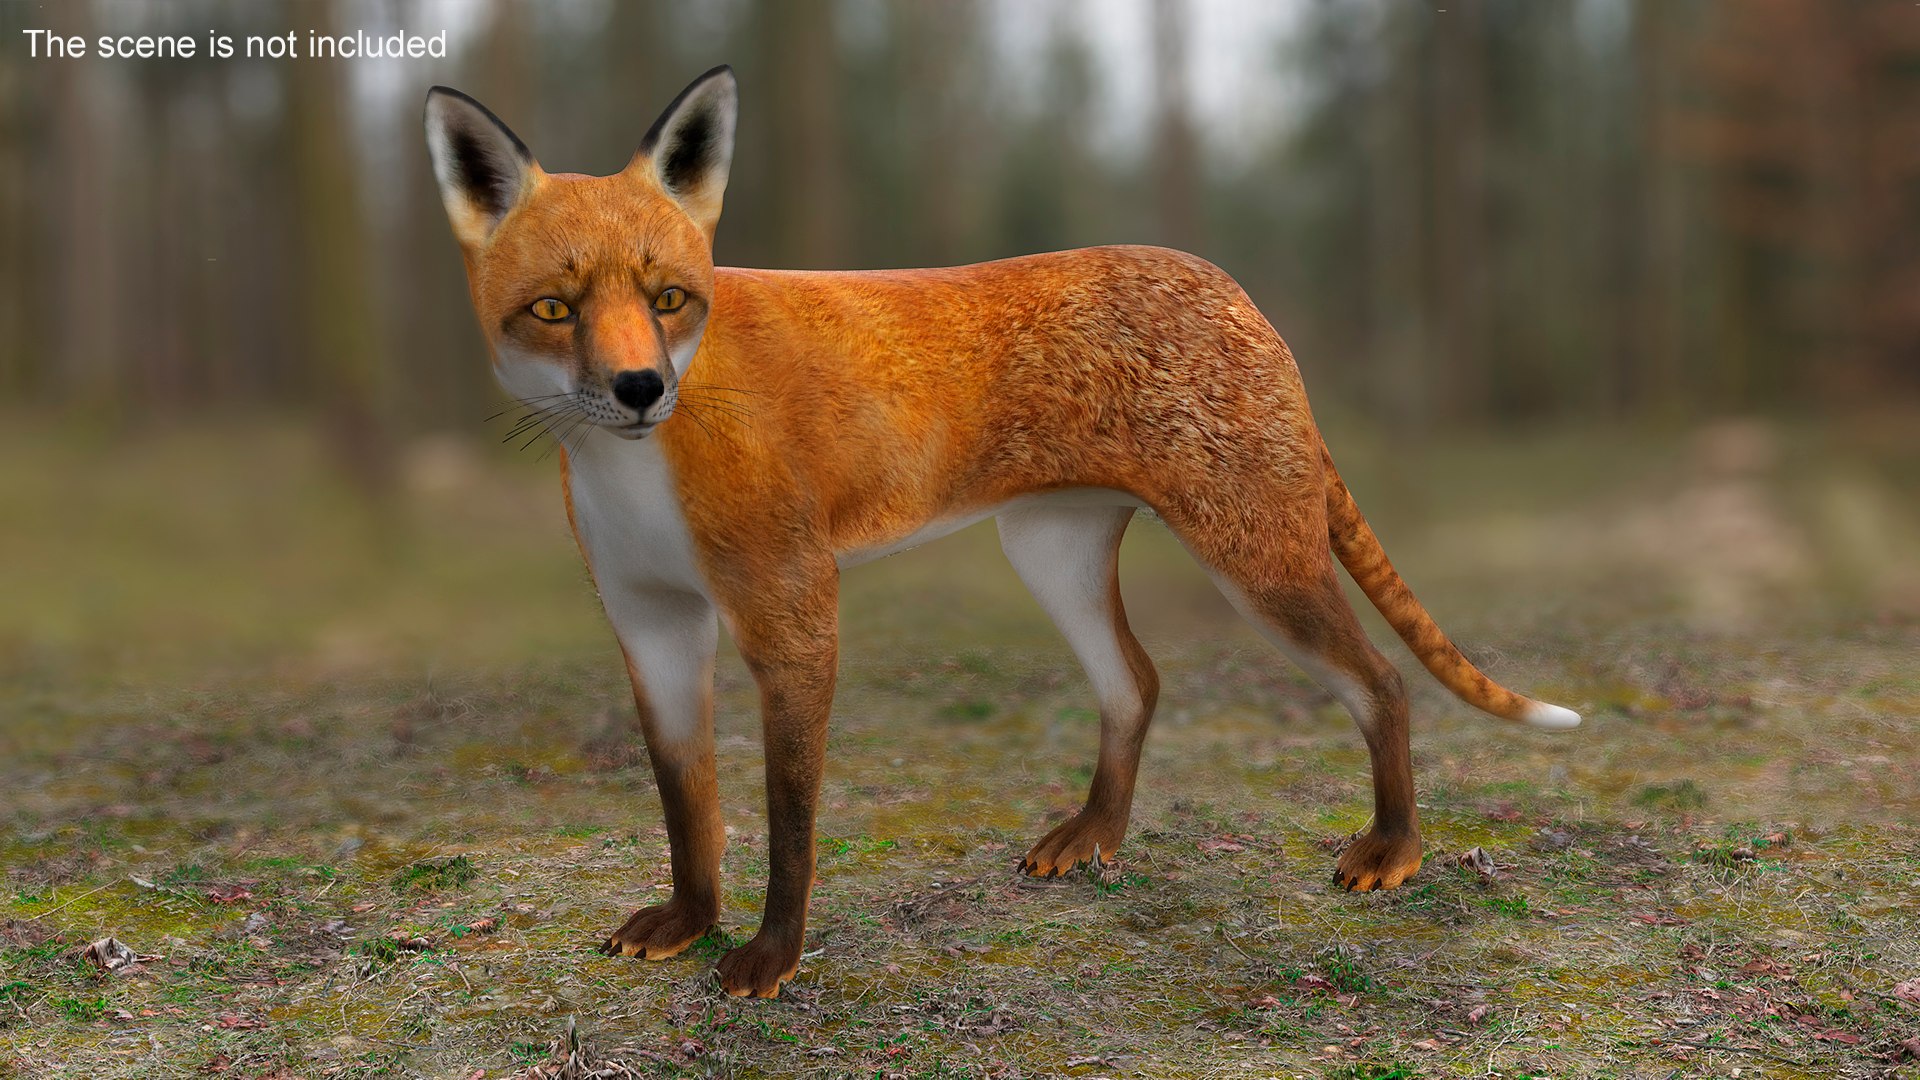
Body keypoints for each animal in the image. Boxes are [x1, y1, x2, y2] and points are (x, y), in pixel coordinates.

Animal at [423, 66, 1580, 999]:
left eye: (669, 299)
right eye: (555, 309)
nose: (640, 389)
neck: (642, 472)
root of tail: (1233, 288)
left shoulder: (792, 615)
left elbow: (789, 823)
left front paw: (771, 957)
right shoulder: (651, 622)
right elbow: (686, 803)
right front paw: (691, 924)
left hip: (1255, 561)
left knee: (1379, 679)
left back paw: (1394, 848)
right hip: (1052, 553)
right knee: (1138, 682)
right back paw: (1098, 837)